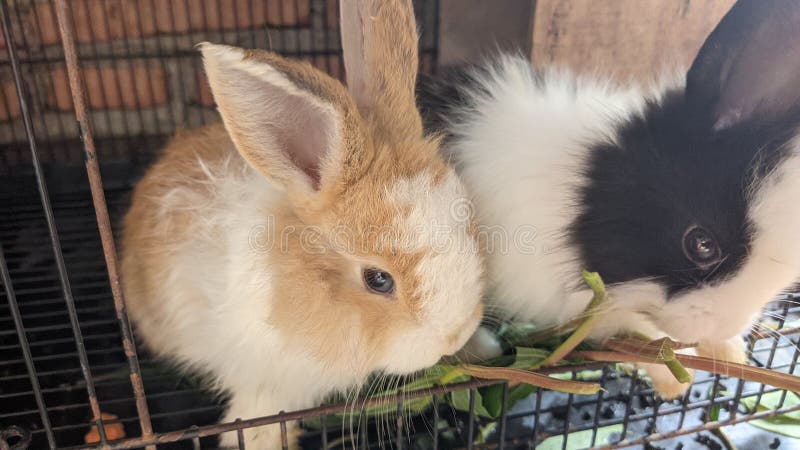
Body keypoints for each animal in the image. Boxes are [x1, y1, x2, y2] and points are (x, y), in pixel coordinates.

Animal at [417, 0, 800, 398]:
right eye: (701, 244)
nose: (725, 326)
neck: (586, 185)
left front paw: (730, 353)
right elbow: (632, 330)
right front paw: (674, 381)